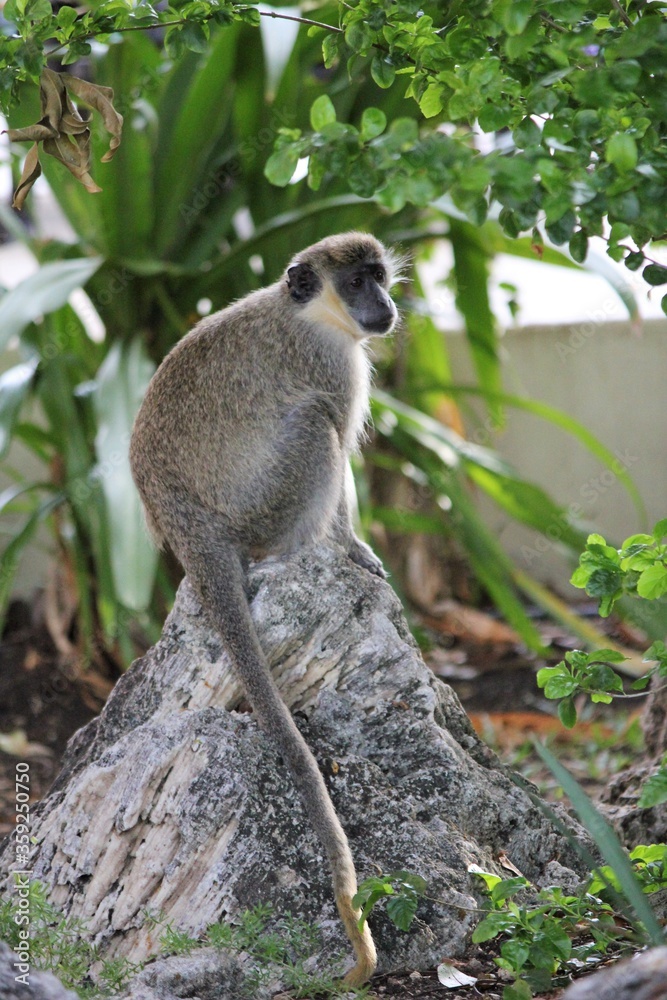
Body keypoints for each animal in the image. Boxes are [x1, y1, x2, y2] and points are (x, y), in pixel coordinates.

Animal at [129, 232, 400, 986]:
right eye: (357, 281)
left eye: (379, 275)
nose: (385, 303)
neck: (307, 313)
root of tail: (188, 529)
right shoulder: (330, 364)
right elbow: (336, 432)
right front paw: (352, 548)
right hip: (265, 507)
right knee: (315, 427)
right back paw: (301, 552)